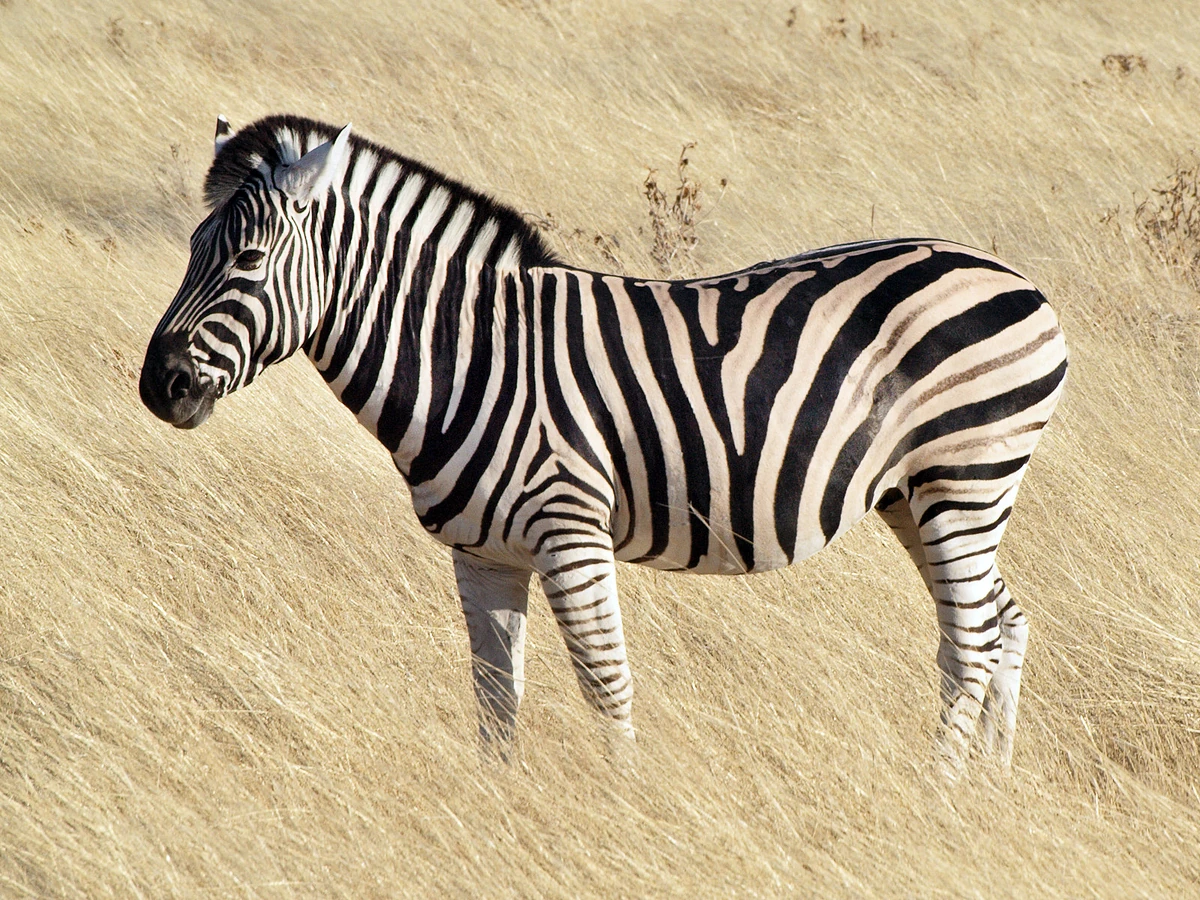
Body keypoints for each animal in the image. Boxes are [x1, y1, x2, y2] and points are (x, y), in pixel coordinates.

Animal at [140, 115, 1067, 776]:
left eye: (248, 259)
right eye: (189, 248)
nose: (159, 386)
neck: (473, 354)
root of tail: (1014, 278)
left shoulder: (570, 530)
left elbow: (604, 681)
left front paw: (624, 804)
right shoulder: (483, 554)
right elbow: (495, 693)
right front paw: (499, 805)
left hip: (965, 476)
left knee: (970, 639)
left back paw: (939, 792)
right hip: (920, 494)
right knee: (1003, 622)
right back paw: (992, 788)